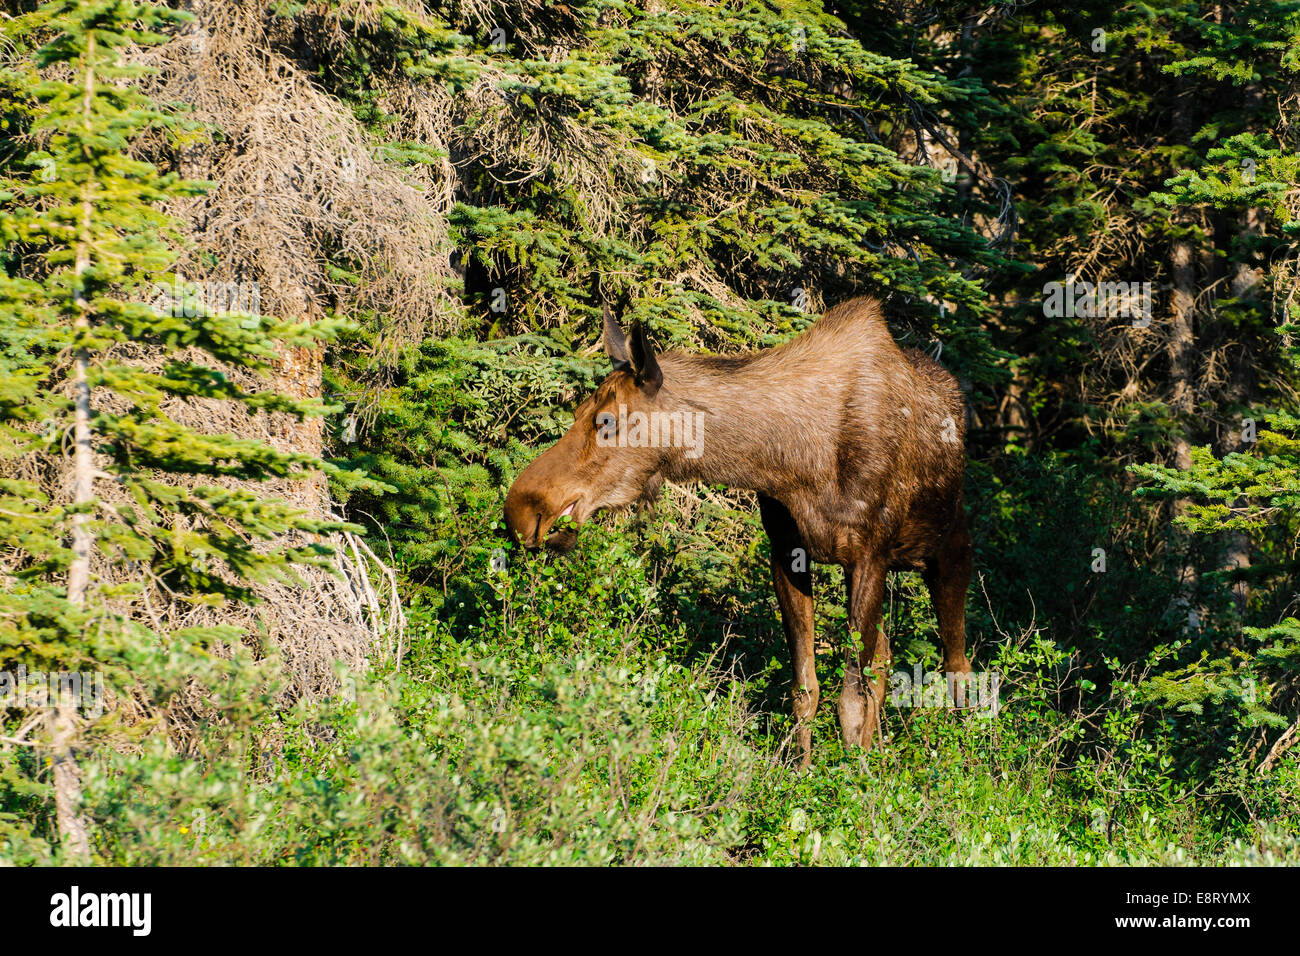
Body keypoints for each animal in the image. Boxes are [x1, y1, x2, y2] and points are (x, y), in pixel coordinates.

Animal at [504, 296, 973, 768]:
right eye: (577, 412)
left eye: (606, 421)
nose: (520, 509)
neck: (787, 463)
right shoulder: (787, 552)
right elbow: (806, 687)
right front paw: (805, 773)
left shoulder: (869, 556)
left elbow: (850, 700)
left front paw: (848, 780)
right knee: (885, 657)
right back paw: (879, 757)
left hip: (949, 550)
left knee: (958, 669)